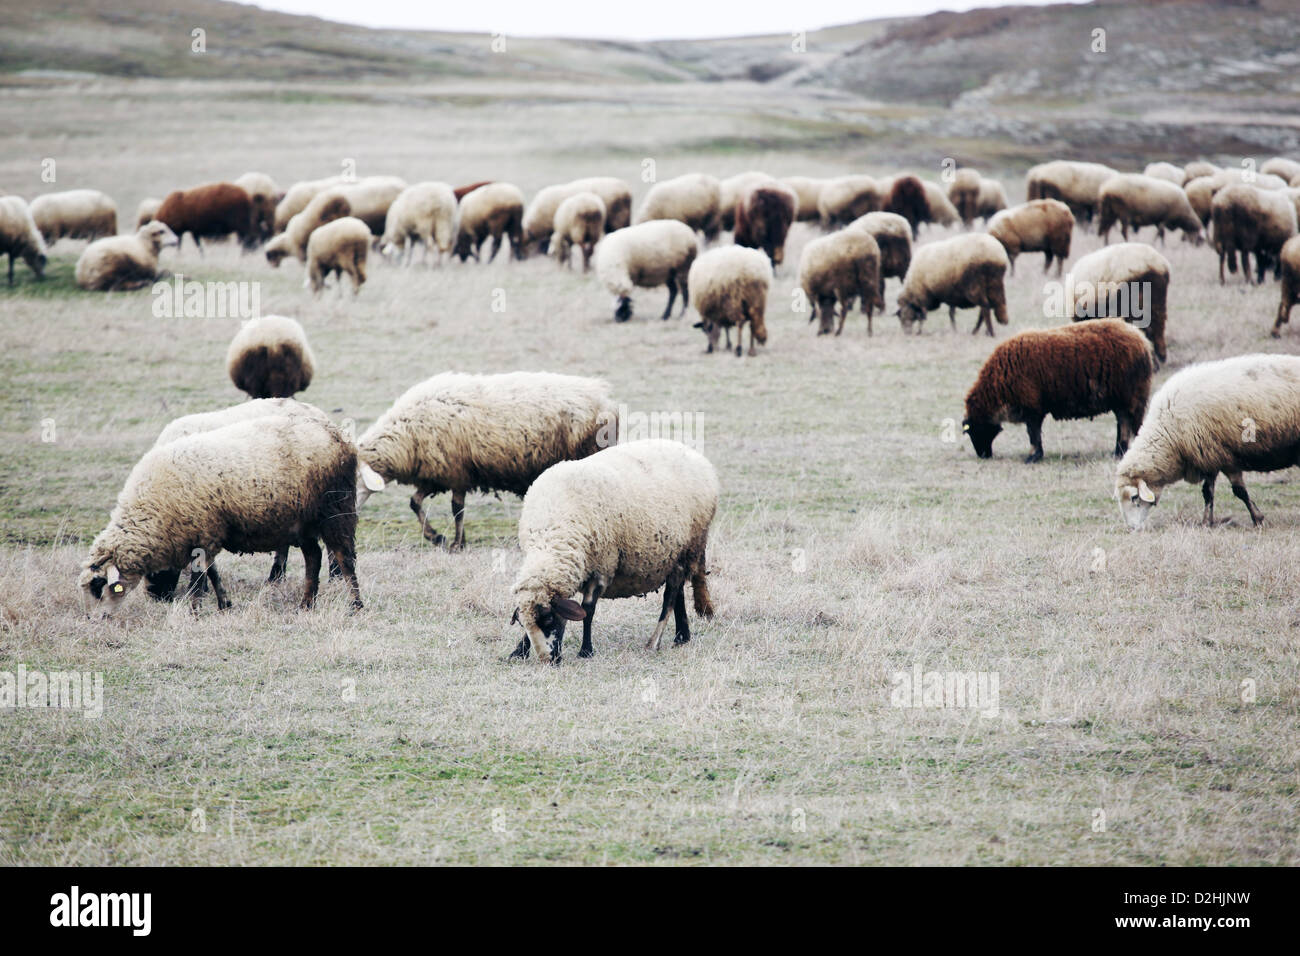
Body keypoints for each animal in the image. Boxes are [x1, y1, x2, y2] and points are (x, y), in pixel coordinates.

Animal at [79, 414, 362, 613]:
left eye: (98, 587)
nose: (95, 619)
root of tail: (337, 433)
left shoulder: (203, 533)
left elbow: (197, 579)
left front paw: (194, 611)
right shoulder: (206, 535)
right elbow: (212, 572)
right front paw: (224, 603)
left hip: (336, 509)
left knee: (344, 558)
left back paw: (355, 605)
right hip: (301, 522)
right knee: (313, 557)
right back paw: (306, 604)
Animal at [355, 372, 618, 551]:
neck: (406, 434)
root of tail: (606, 400)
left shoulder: (456, 472)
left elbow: (457, 509)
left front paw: (456, 543)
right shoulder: (435, 476)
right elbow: (414, 503)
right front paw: (436, 536)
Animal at [509, 439, 718, 666]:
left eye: (548, 619)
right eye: (522, 624)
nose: (548, 660)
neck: (551, 537)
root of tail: (696, 457)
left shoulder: (601, 568)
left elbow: (588, 610)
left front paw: (586, 650)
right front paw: (518, 652)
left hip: (689, 547)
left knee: (670, 596)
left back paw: (654, 642)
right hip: (672, 555)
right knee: (678, 592)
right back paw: (681, 636)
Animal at [964, 319, 1155, 464]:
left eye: (974, 430)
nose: (983, 456)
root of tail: (1142, 341)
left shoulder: (1032, 408)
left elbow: (1033, 435)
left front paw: (1033, 457)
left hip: (1131, 397)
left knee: (1128, 424)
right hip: (1122, 400)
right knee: (1123, 423)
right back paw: (1118, 452)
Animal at [1115, 354, 1300, 529]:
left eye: (1134, 497)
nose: (1131, 528)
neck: (1169, 435)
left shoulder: (1225, 457)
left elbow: (1239, 491)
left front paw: (1257, 519)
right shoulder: (1209, 457)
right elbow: (1208, 493)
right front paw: (1206, 523)